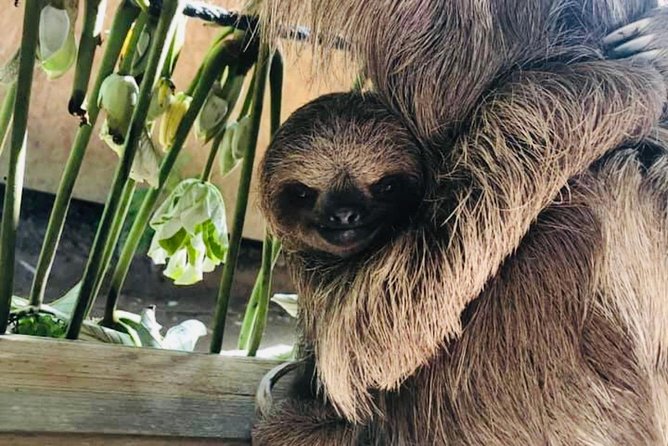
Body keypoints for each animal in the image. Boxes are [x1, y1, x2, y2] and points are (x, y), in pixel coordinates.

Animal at [251, 1, 668, 445]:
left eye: (386, 186)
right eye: (303, 193)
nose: (345, 214)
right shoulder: (328, 286)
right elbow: (379, 333)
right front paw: (633, 78)